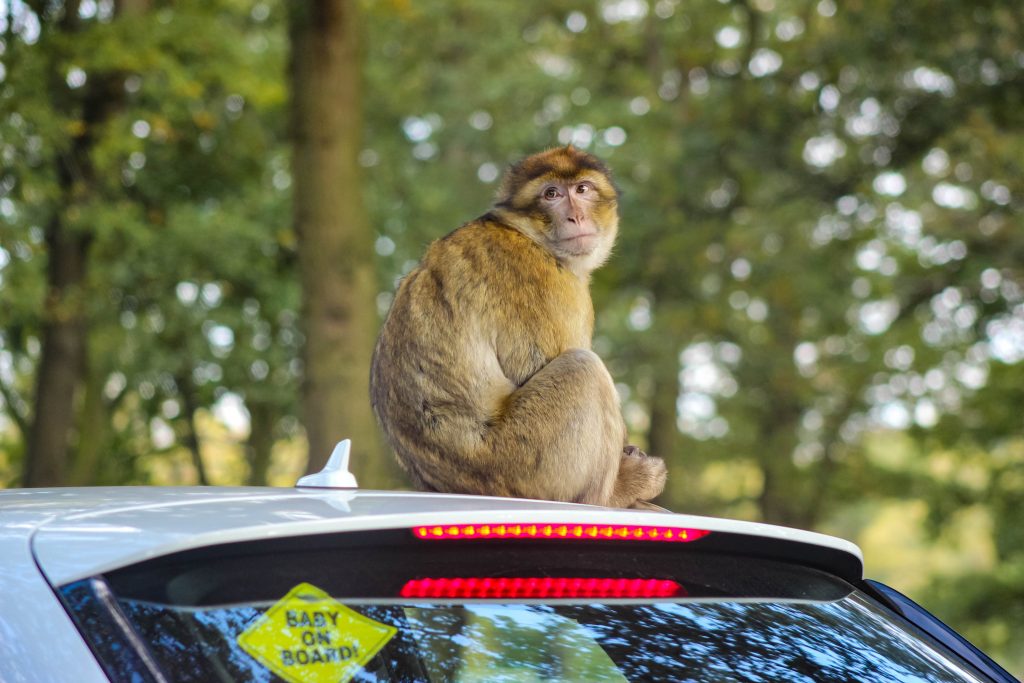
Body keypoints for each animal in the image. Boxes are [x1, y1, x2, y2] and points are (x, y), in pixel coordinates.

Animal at [370, 146, 666, 508]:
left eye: (582, 189)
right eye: (551, 194)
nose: (576, 217)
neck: (528, 235)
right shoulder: (542, 281)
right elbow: (532, 365)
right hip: (526, 464)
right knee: (583, 368)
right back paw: (618, 491)